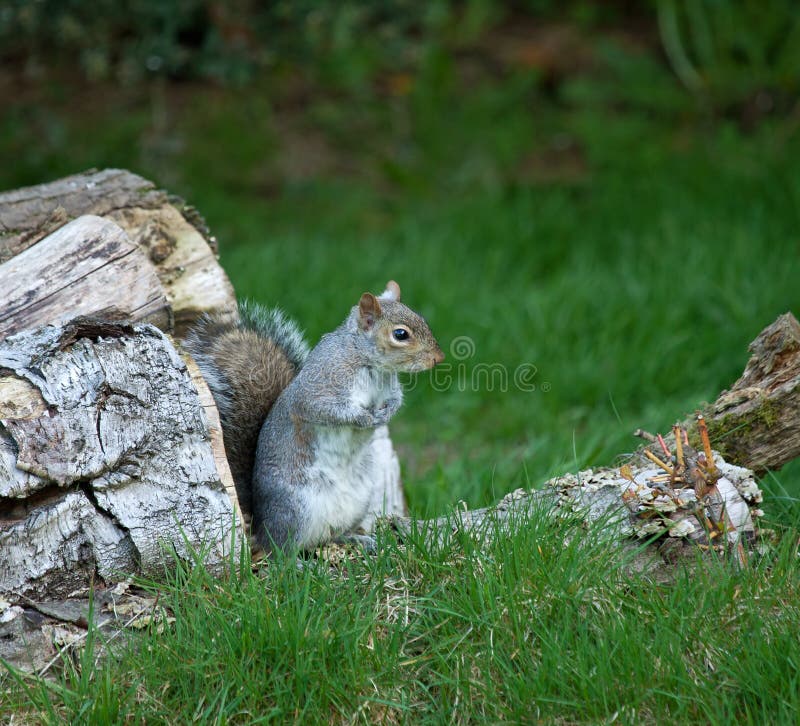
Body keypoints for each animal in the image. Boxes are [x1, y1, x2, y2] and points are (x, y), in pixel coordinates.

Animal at [184, 280, 444, 552]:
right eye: (400, 334)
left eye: (422, 319)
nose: (439, 358)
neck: (368, 362)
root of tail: (259, 523)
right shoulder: (320, 387)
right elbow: (322, 409)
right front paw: (363, 418)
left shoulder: (390, 387)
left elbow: (396, 399)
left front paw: (387, 413)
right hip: (295, 508)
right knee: (278, 549)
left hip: (358, 502)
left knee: (330, 536)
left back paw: (357, 539)